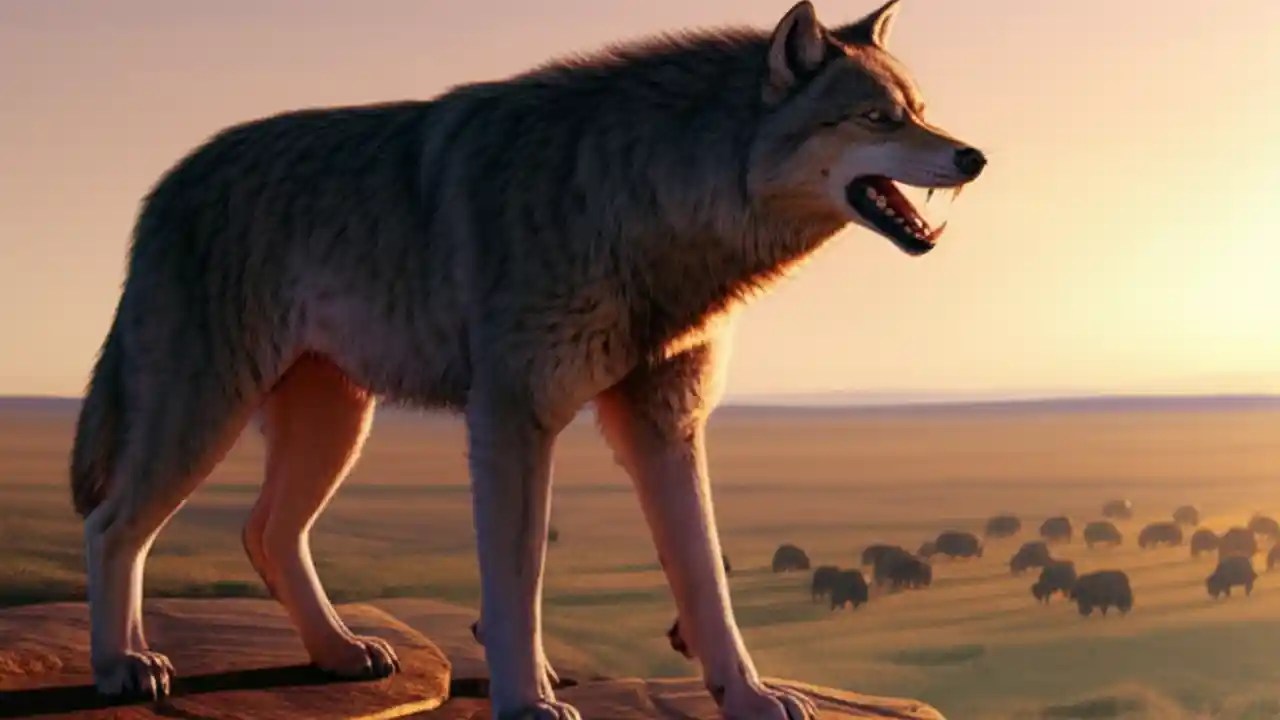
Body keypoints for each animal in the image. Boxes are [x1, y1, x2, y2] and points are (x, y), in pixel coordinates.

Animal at [70, 1, 985, 717]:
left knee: (266, 531)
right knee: (114, 525)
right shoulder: (514, 413)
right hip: (207, 409)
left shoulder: (665, 425)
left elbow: (708, 584)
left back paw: (337, 651)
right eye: (878, 119)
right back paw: (124, 665)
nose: (972, 156)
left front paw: (751, 698)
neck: (650, 202)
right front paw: (529, 701)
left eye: (921, 109)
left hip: (334, 424)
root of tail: (166, 186)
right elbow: (517, 580)